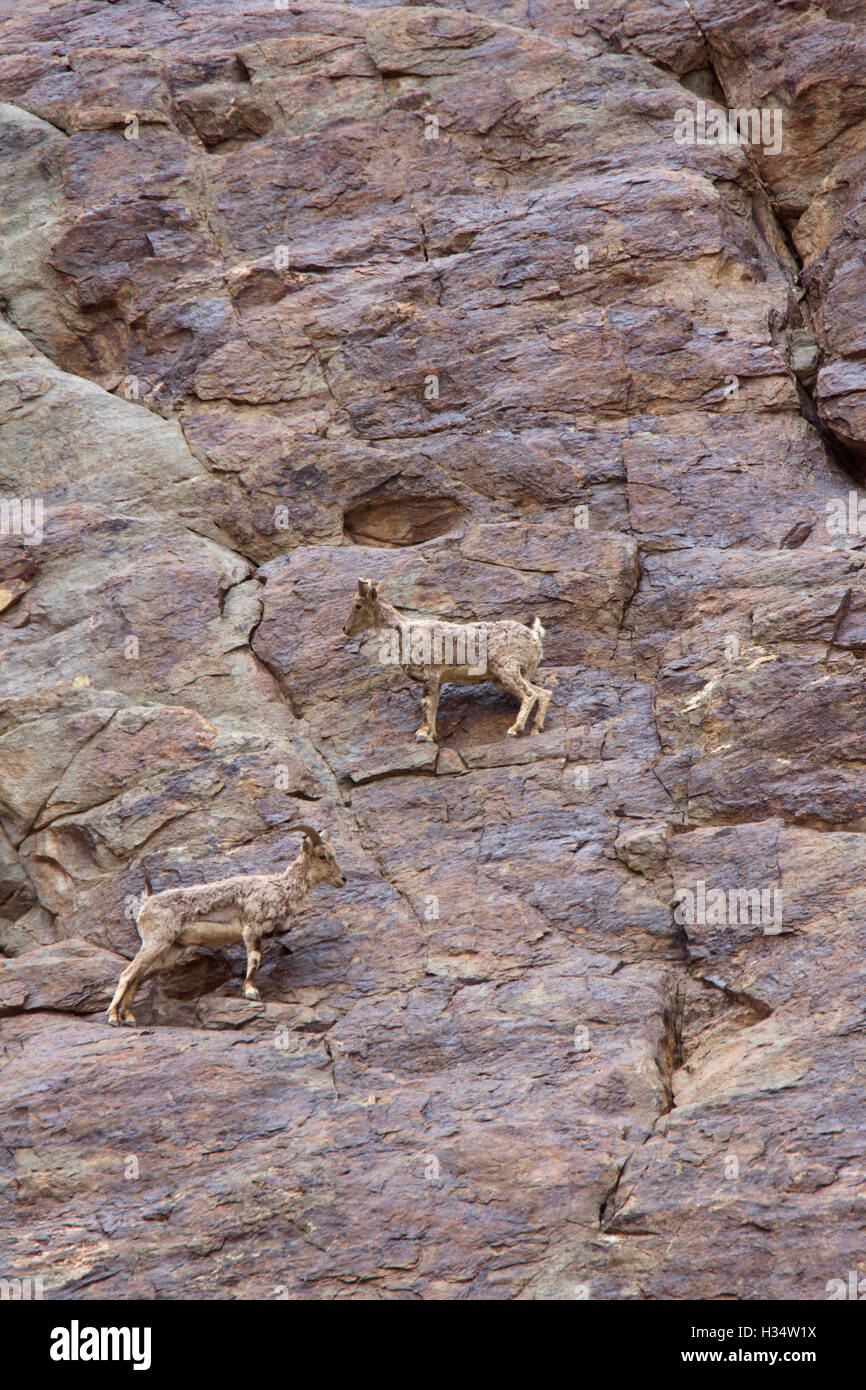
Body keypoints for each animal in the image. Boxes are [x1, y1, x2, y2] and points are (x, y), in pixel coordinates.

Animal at [107, 825, 345, 1026]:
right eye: (322, 856)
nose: (343, 880)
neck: (280, 888)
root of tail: (145, 904)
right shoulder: (251, 927)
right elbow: (254, 959)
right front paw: (251, 991)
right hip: (155, 941)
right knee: (127, 974)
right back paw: (113, 1017)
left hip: (171, 949)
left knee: (138, 977)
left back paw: (129, 1017)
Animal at [343, 577, 552, 742]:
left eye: (358, 606)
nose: (345, 629)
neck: (404, 632)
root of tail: (535, 636)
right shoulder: (438, 680)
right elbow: (434, 706)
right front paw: (431, 736)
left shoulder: (431, 674)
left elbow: (426, 704)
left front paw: (421, 734)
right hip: (508, 676)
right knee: (543, 693)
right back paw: (536, 729)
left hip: (506, 668)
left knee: (529, 695)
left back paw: (515, 729)